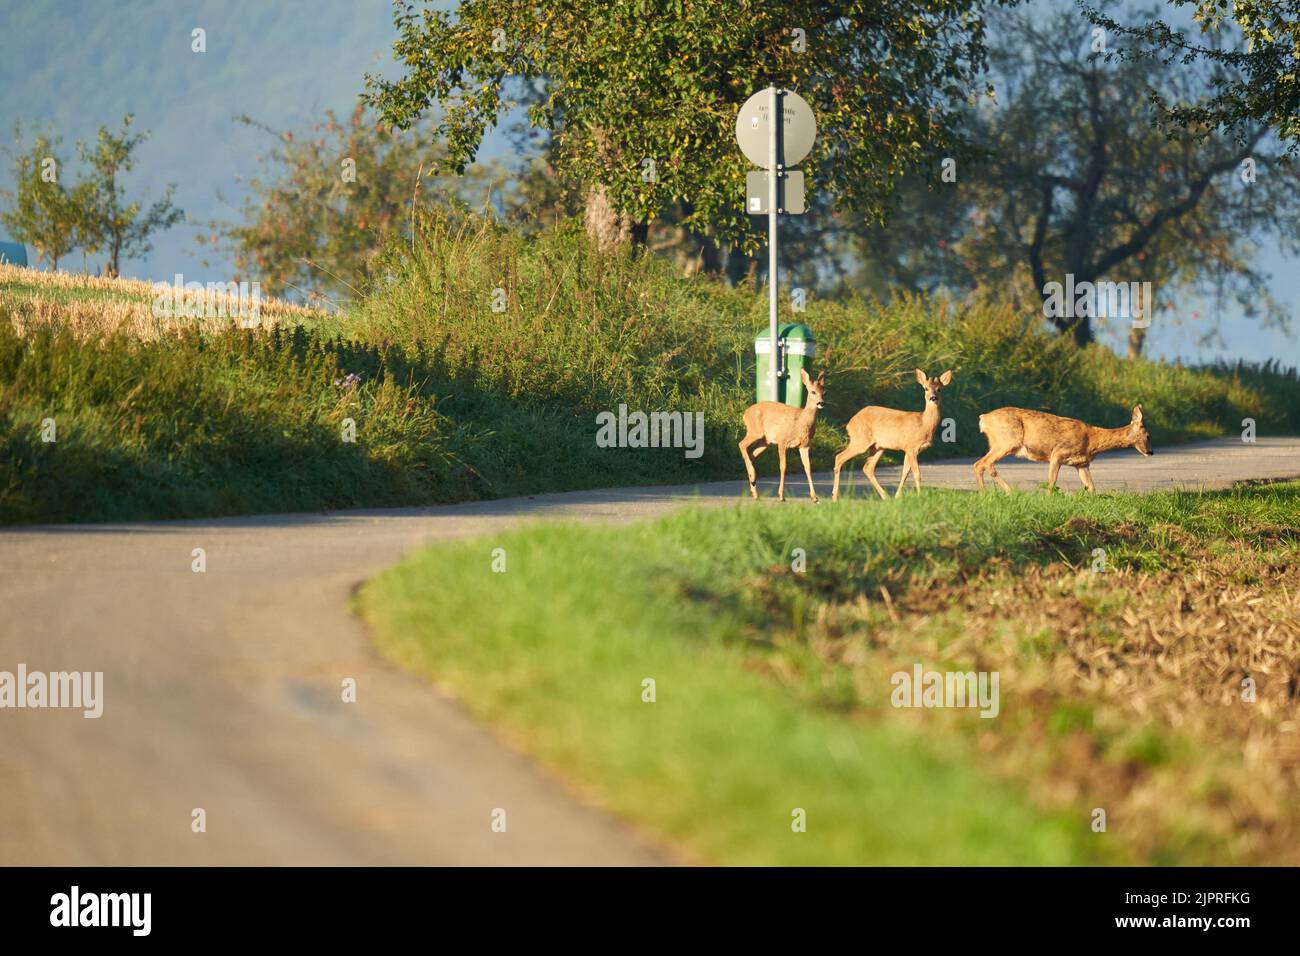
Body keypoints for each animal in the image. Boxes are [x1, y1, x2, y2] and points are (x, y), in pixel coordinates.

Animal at [739, 368, 828, 502]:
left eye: (824, 392)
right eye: (813, 392)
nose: (821, 403)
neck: (800, 422)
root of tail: (745, 413)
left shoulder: (804, 445)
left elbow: (808, 468)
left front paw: (814, 497)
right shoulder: (782, 441)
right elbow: (783, 467)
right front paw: (781, 495)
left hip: (765, 441)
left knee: (750, 453)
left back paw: (755, 491)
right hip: (755, 431)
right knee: (742, 444)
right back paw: (753, 478)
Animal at [831, 369, 953, 501]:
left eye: (939, 389)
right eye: (926, 388)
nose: (933, 397)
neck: (924, 424)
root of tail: (850, 423)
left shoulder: (908, 450)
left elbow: (905, 472)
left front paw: (897, 496)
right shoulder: (911, 447)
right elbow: (917, 473)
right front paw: (920, 496)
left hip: (878, 446)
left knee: (867, 467)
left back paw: (885, 496)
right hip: (860, 440)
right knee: (839, 457)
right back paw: (834, 497)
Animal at [973, 404, 1153, 493]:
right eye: (1148, 435)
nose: (1150, 452)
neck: (1092, 440)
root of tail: (983, 418)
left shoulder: (1081, 464)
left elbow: (1091, 487)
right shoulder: (1057, 453)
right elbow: (1052, 482)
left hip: (999, 442)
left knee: (981, 464)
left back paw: (990, 493)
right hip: (1007, 441)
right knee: (983, 463)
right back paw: (1003, 492)